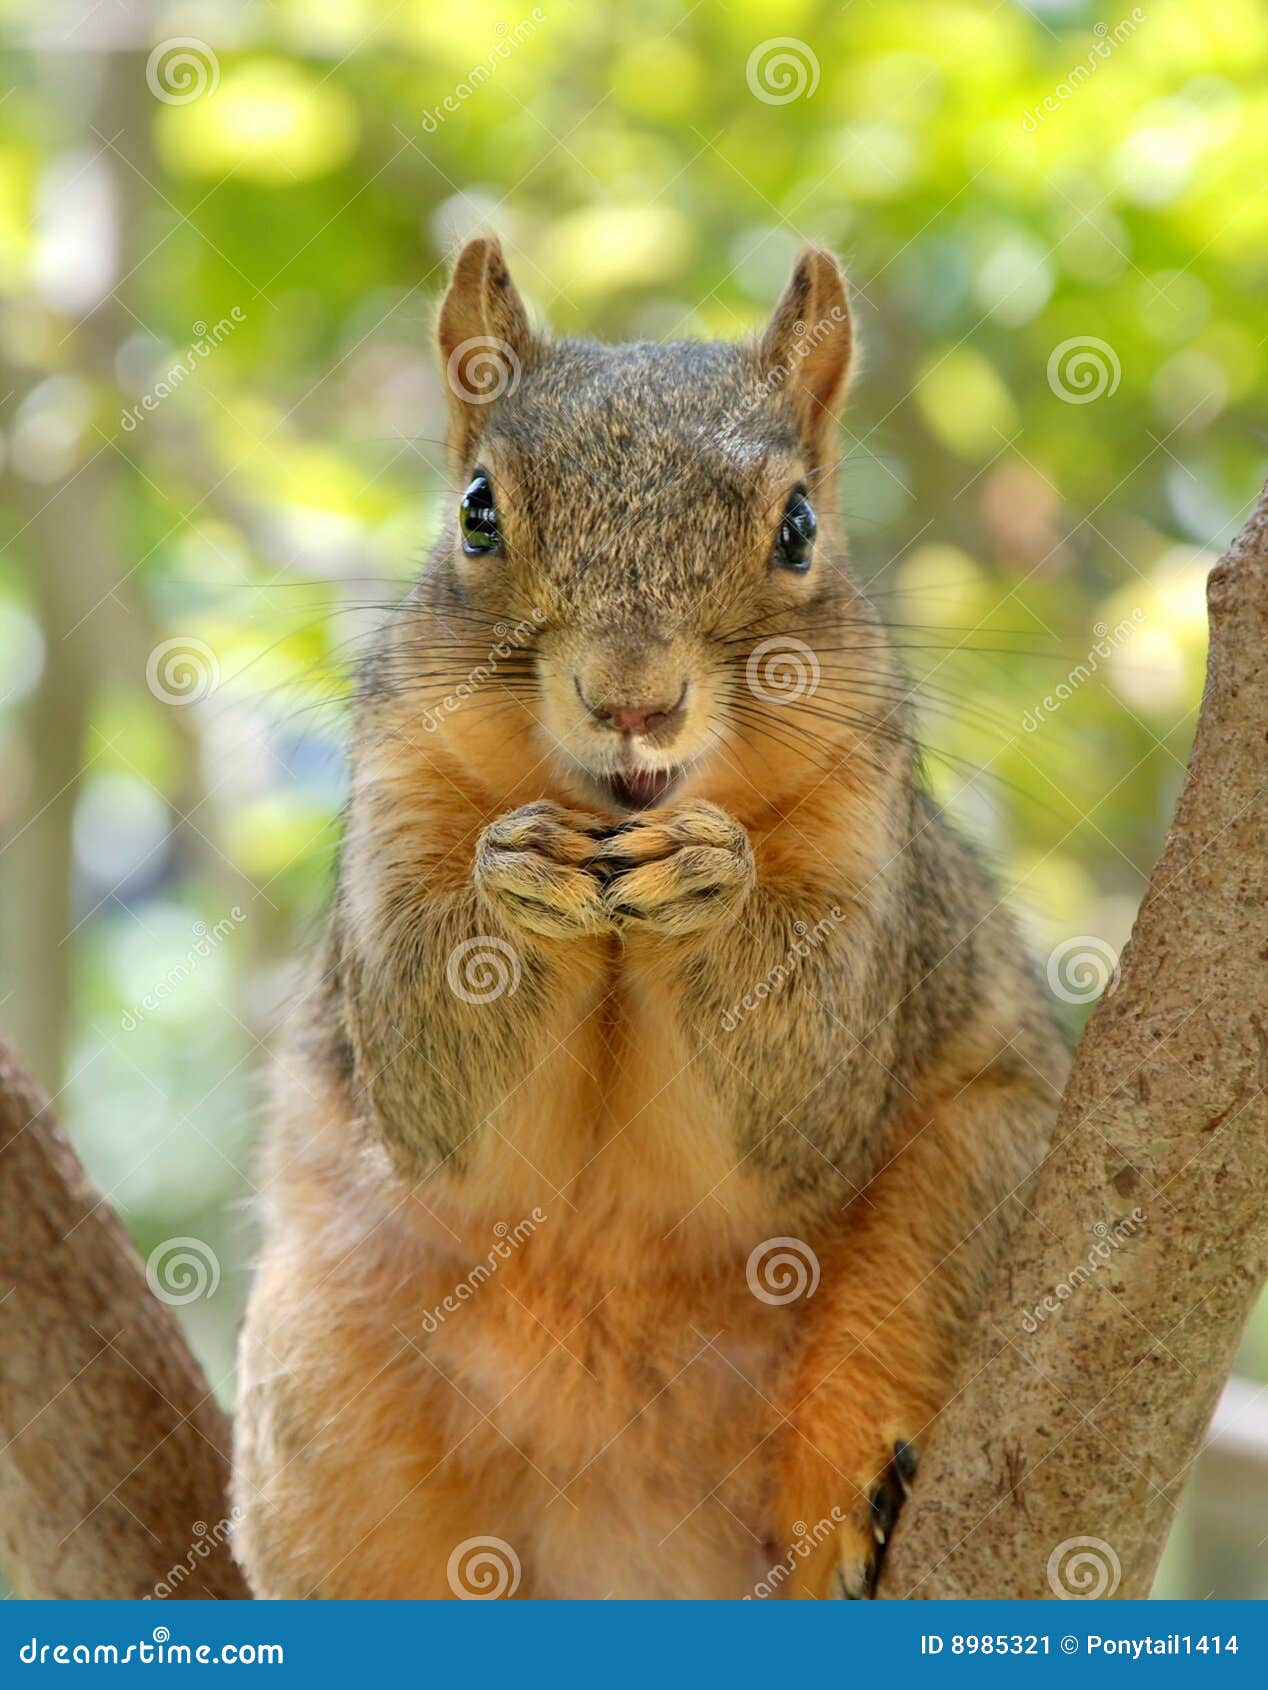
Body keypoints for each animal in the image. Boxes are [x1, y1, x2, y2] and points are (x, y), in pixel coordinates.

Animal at [232, 236, 1068, 1600]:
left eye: (798, 527)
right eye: (475, 509)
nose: (633, 701)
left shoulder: (872, 856)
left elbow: (805, 1093)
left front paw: (708, 882)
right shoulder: (398, 794)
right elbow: (435, 1088)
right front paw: (515, 875)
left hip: (958, 1213)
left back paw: (859, 1505)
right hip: (324, 1386)